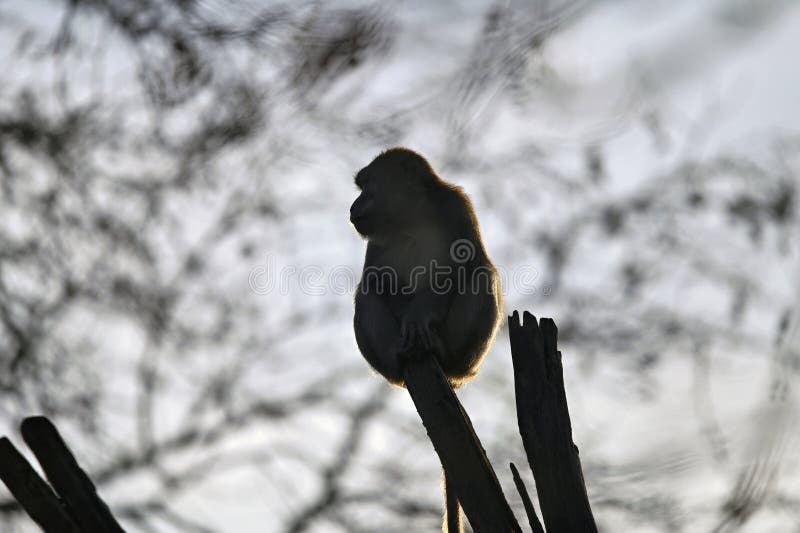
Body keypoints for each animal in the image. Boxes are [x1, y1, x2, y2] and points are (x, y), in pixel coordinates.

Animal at [350, 147, 502, 532]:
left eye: (367, 186)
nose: (353, 205)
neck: (412, 217)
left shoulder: (456, 207)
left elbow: (461, 263)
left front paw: (420, 317)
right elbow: (378, 278)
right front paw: (409, 320)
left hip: (467, 351)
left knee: (480, 272)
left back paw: (436, 347)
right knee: (367, 291)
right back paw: (400, 355)